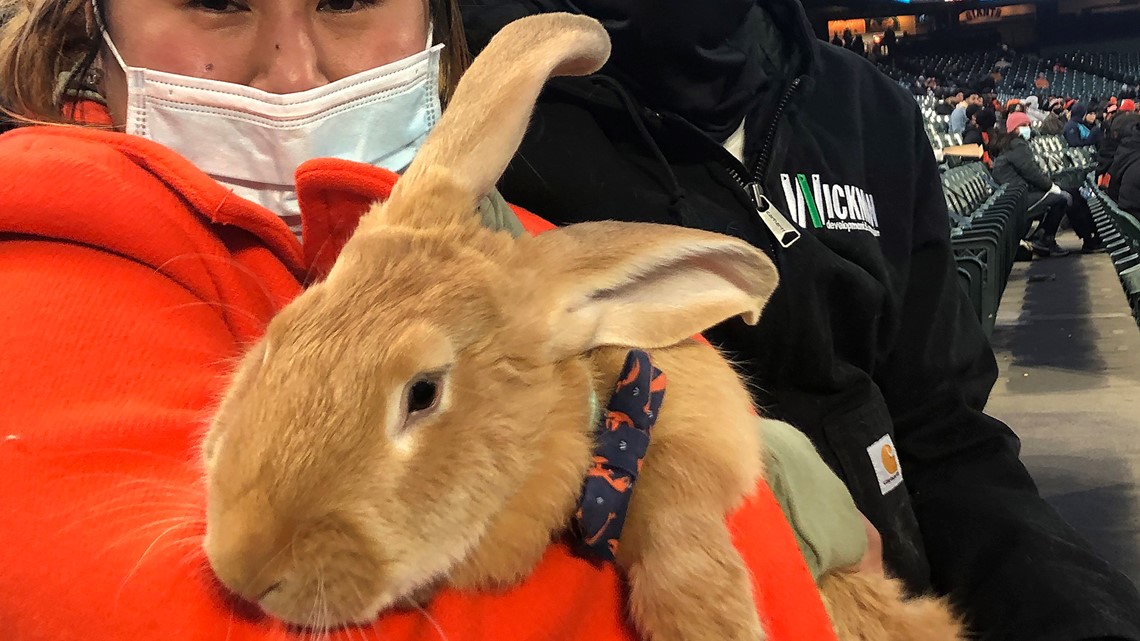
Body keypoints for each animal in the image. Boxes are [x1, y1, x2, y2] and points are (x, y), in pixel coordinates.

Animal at [201, 12, 965, 641]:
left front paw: (708, 621)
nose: (244, 566)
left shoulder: (702, 428)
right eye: (278, 339)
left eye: (422, 393)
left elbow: (674, 501)